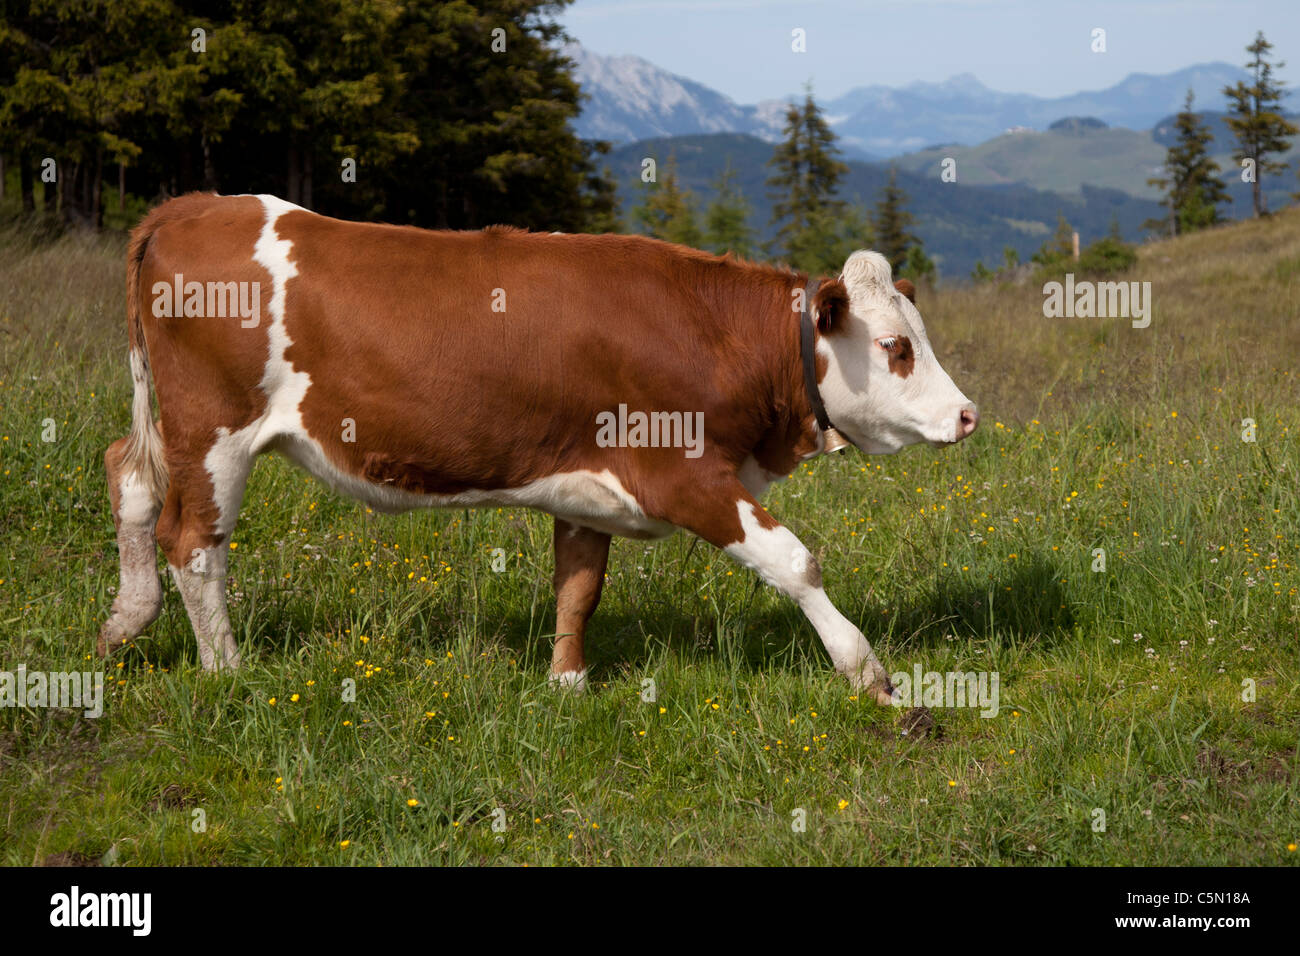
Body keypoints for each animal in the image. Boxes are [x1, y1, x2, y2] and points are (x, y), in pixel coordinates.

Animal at [99, 193, 978, 704]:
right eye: (897, 346)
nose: (967, 415)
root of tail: (194, 206)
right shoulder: (682, 476)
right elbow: (796, 561)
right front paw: (867, 671)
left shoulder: (587, 481)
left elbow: (579, 586)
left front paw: (566, 685)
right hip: (214, 428)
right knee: (194, 539)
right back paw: (225, 670)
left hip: (171, 423)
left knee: (129, 478)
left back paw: (125, 622)